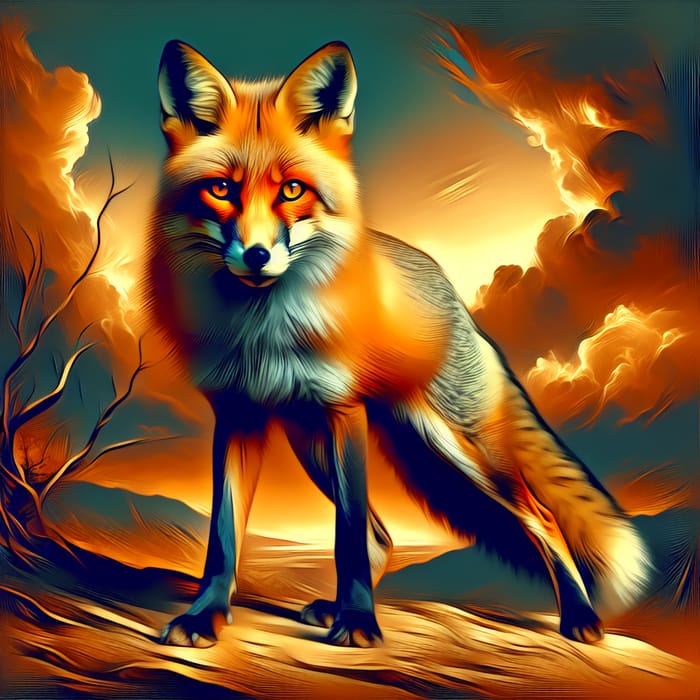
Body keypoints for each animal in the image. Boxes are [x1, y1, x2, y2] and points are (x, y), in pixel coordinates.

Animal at [147, 39, 651, 649]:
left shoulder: (344, 413)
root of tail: (447, 285)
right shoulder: (239, 414)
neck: (263, 330)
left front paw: (360, 623)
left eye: (292, 190)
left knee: (542, 520)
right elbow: (223, 536)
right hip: (312, 439)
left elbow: (343, 538)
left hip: (460, 450)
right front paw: (206, 616)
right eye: (221, 189)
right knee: (381, 535)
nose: (258, 256)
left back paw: (580, 618)